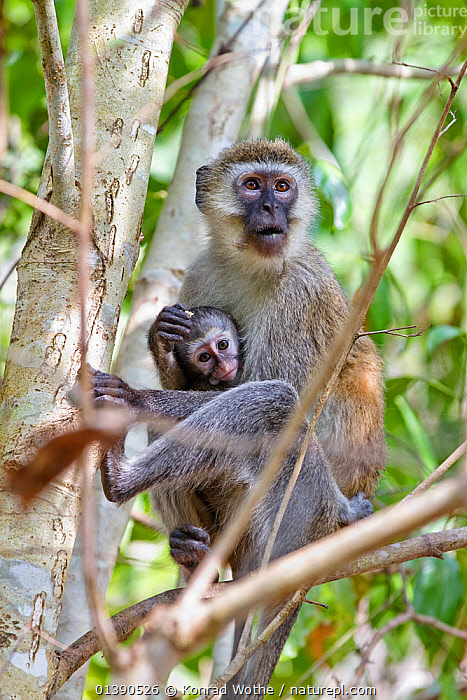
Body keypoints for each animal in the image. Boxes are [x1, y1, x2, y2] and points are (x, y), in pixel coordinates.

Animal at [91, 138, 385, 691]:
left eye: (282, 186)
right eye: (252, 186)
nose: (271, 208)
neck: (256, 264)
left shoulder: (301, 294)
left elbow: (287, 393)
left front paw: (134, 395)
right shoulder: (202, 273)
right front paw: (161, 342)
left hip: (299, 508)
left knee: (278, 405)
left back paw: (120, 477)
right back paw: (193, 558)